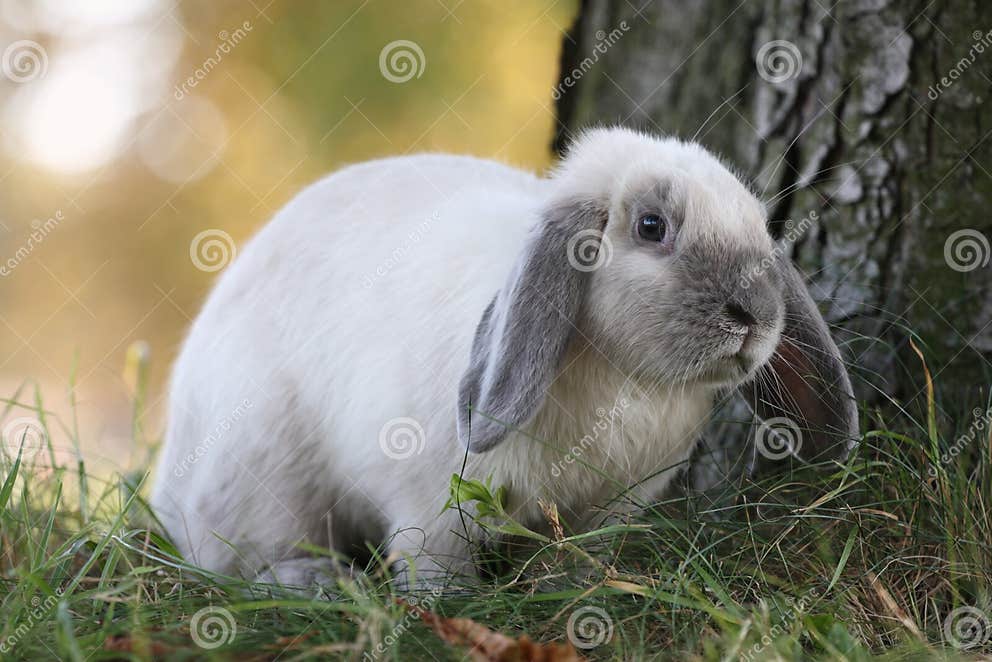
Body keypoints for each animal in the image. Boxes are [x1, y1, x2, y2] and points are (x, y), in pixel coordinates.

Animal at [150, 126, 858, 589]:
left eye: (761, 228)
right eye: (652, 225)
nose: (756, 313)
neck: (624, 381)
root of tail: (168, 487)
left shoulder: (615, 506)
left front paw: (568, 586)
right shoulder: (430, 511)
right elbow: (438, 570)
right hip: (261, 472)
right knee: (243, 555)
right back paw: (315, 581)